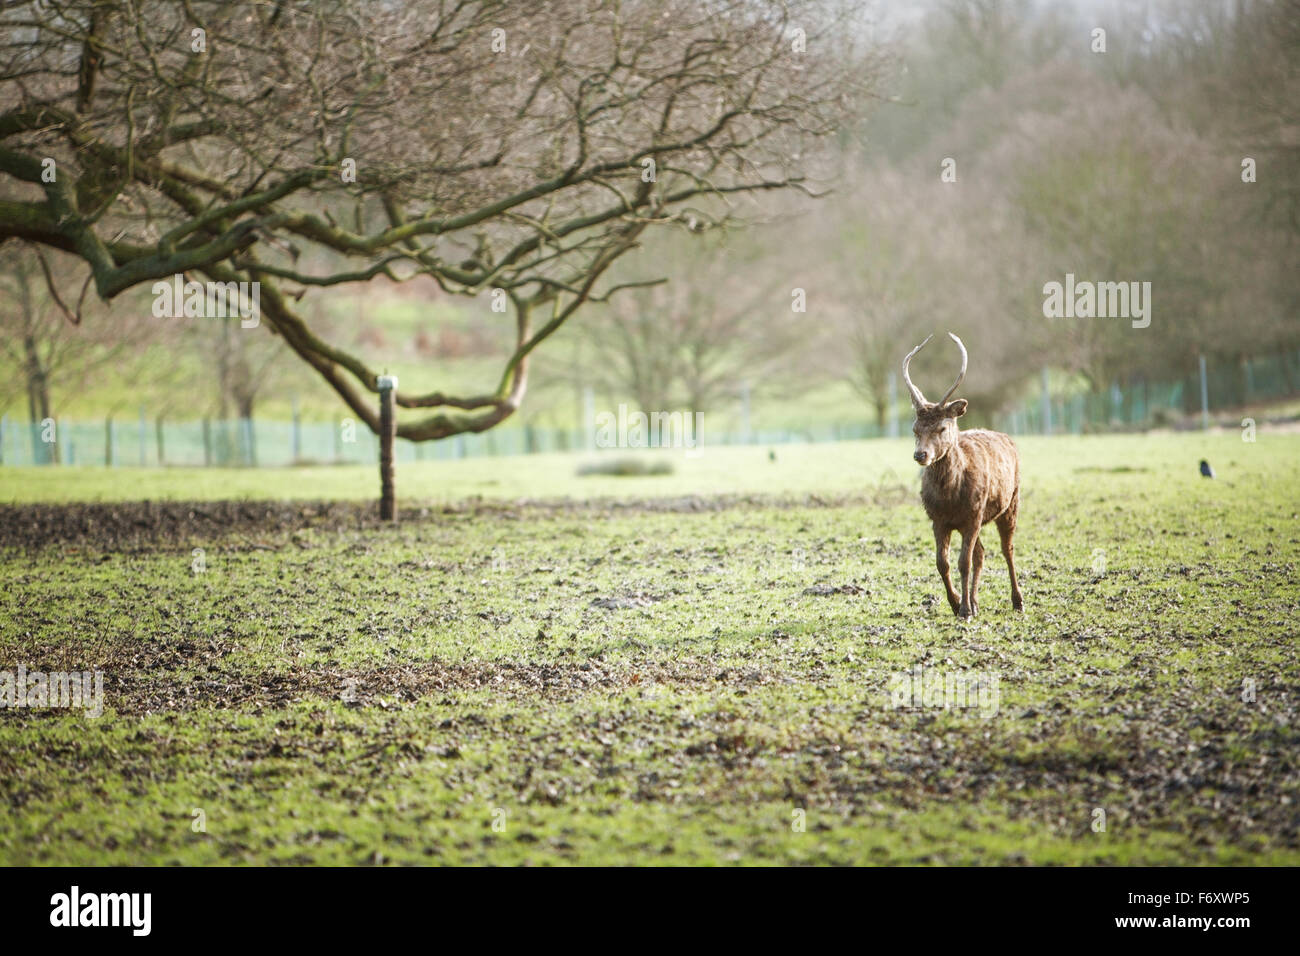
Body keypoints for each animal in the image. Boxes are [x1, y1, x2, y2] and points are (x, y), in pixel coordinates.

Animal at [902, 332, 1024, 619]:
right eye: (914, 428)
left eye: (942, 427)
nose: (920, 454)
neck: (950, 498)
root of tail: (1007, 437)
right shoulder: (938, 519)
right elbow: (943, 563)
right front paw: (957, 603)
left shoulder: (973, 515)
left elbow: (963, 562)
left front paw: (965, 609)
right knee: (981, 553)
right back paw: (977, 602)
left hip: (1011, 502)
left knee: (1007, 550)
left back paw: (1017, 600)